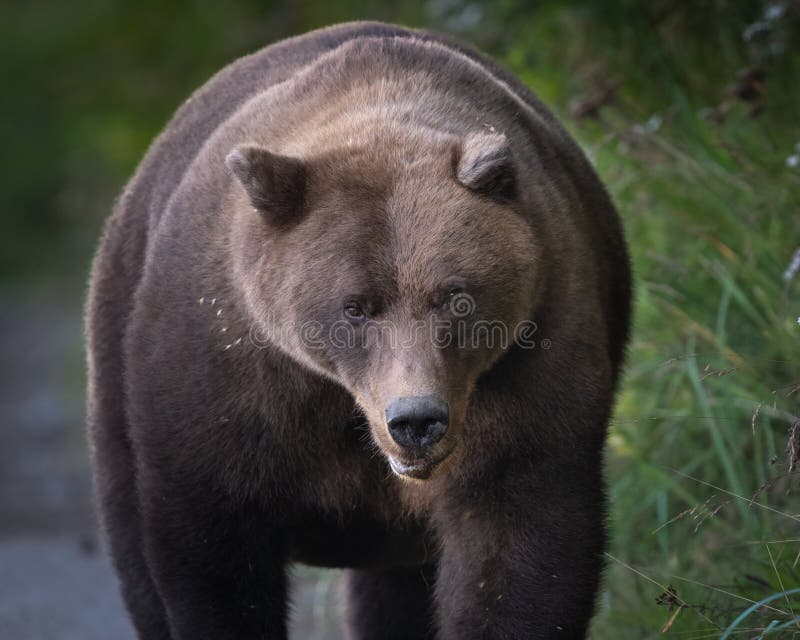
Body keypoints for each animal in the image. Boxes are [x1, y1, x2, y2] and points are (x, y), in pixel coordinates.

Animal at [86, 21, 631, 640]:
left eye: (456, 298)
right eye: (355, 308)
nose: (416, 419)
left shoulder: (531, 356)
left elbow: (521, 539)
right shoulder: (224, 373)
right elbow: (212, 550)